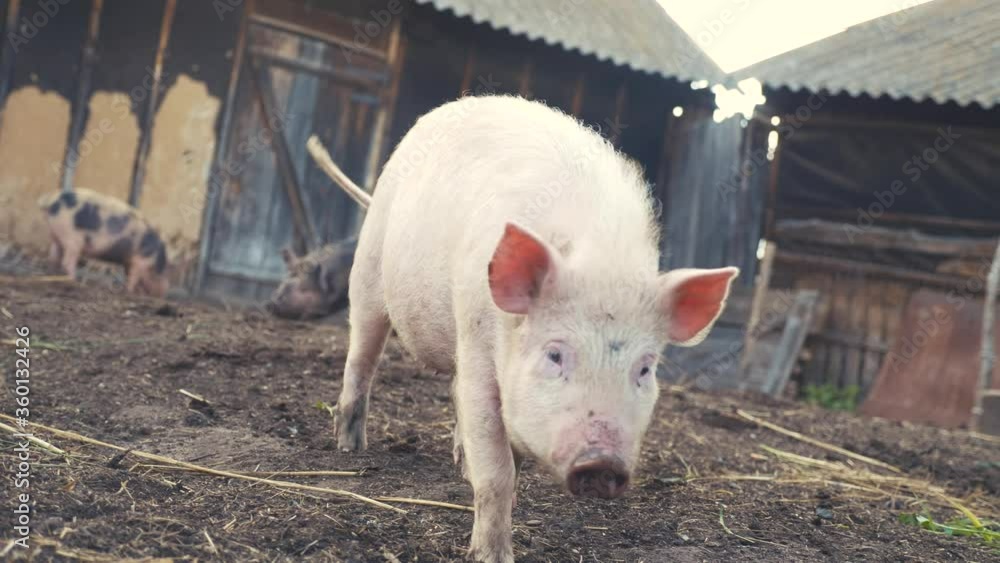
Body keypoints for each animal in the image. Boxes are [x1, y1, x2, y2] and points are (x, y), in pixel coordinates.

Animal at [37, 188, 169, 298]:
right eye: (161, 273)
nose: (163, 293)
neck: (155, 258)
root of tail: (52, 200)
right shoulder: (140, 262)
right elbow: (133, 278)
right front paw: (130, 292)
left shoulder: (130, 262)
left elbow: (130, 276)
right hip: (71, 240)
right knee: (67, 262)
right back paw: (74, 282)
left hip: (55, 236)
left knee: (53, 256)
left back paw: (53, 273)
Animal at [326, 96, 738, 562]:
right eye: (554, 354)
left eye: (645, 368)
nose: (602, 461)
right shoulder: (477, 341)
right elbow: (497, 472)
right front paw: (491, 555)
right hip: (369, 272)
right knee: (362, 356)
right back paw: (350, 447)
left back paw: (458, 461)